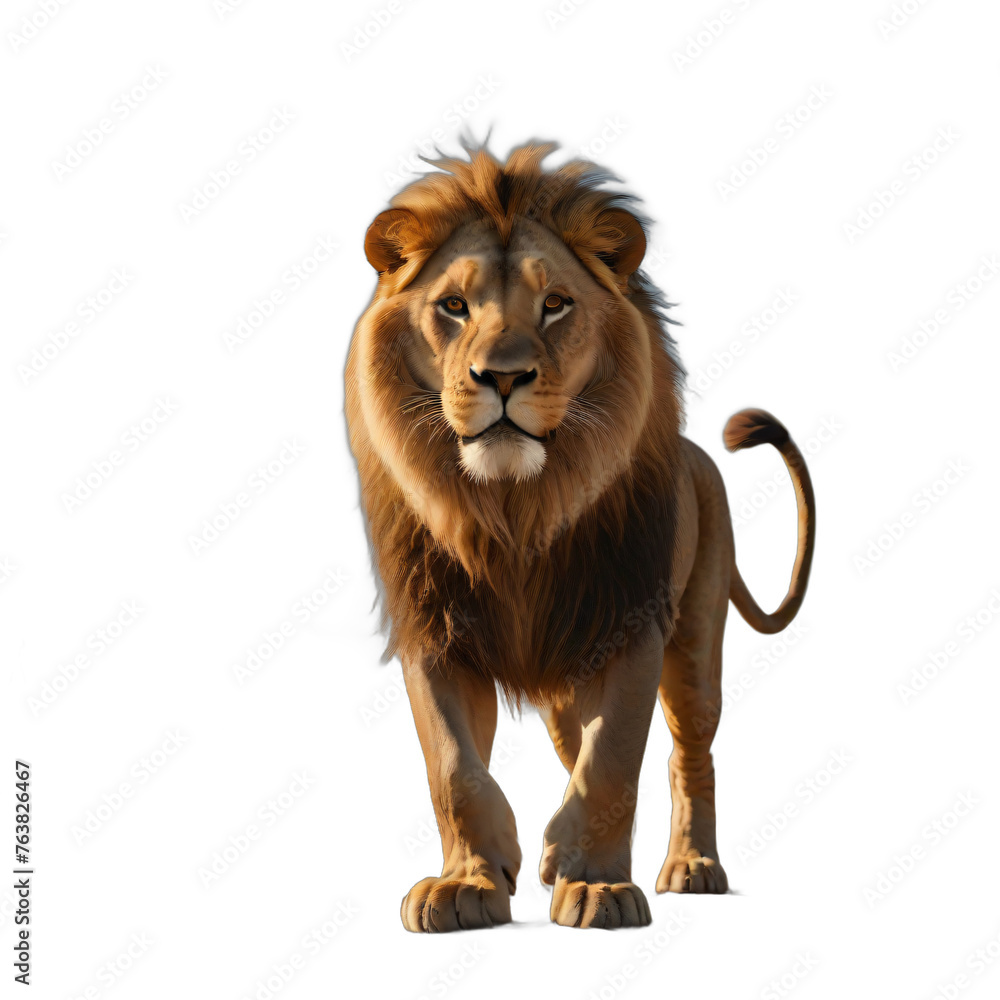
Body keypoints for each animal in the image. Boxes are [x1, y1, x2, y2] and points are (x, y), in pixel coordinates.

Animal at [344, 141, 815, 932]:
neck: (516, 509)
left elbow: (615, 758)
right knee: (573, 750)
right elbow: (455, 767)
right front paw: (469, 883)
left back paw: (691, 866)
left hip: (695, 644)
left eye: (556, 304)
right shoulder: (433, 630)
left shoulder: (630, 622)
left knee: (689, 755)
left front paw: (596, 885)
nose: (502, 377)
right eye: (453, 307)